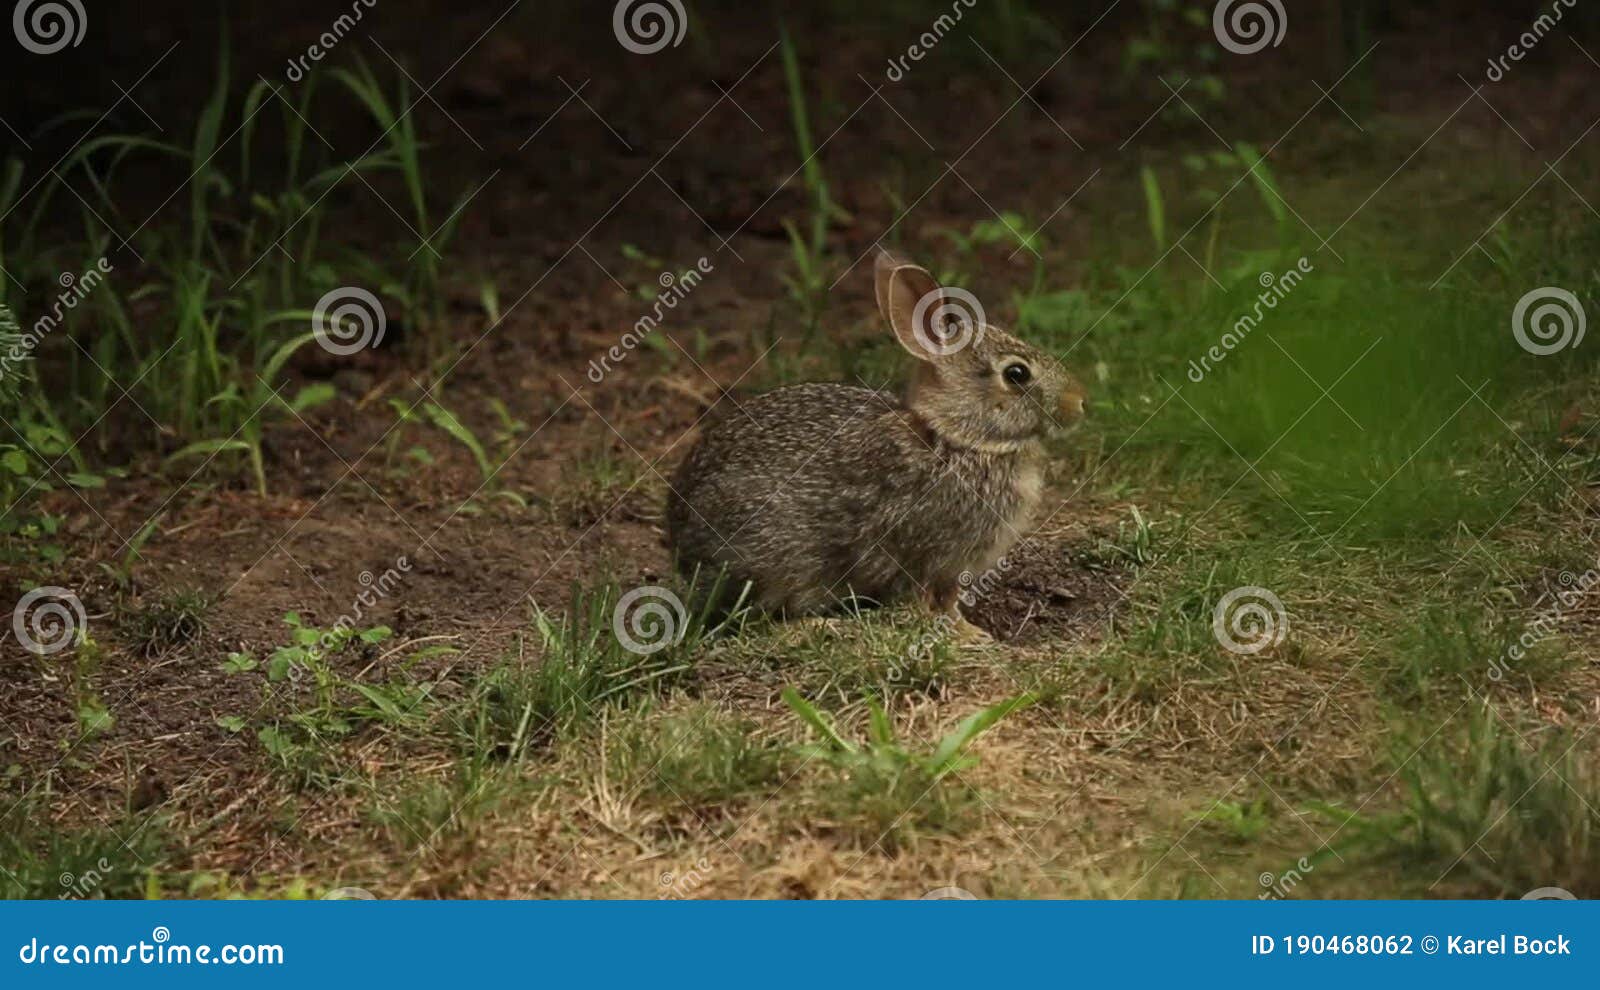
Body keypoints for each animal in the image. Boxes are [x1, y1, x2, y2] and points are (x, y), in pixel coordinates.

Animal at [665, 250, 1086, 641]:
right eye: (1016, 374)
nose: (1079, 402)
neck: (958, 439)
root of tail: (680, 545)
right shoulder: (927, 555)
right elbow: (928, 599)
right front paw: (963, 635)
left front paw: (969, 631)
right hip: (775, 558)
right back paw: (819, 626)